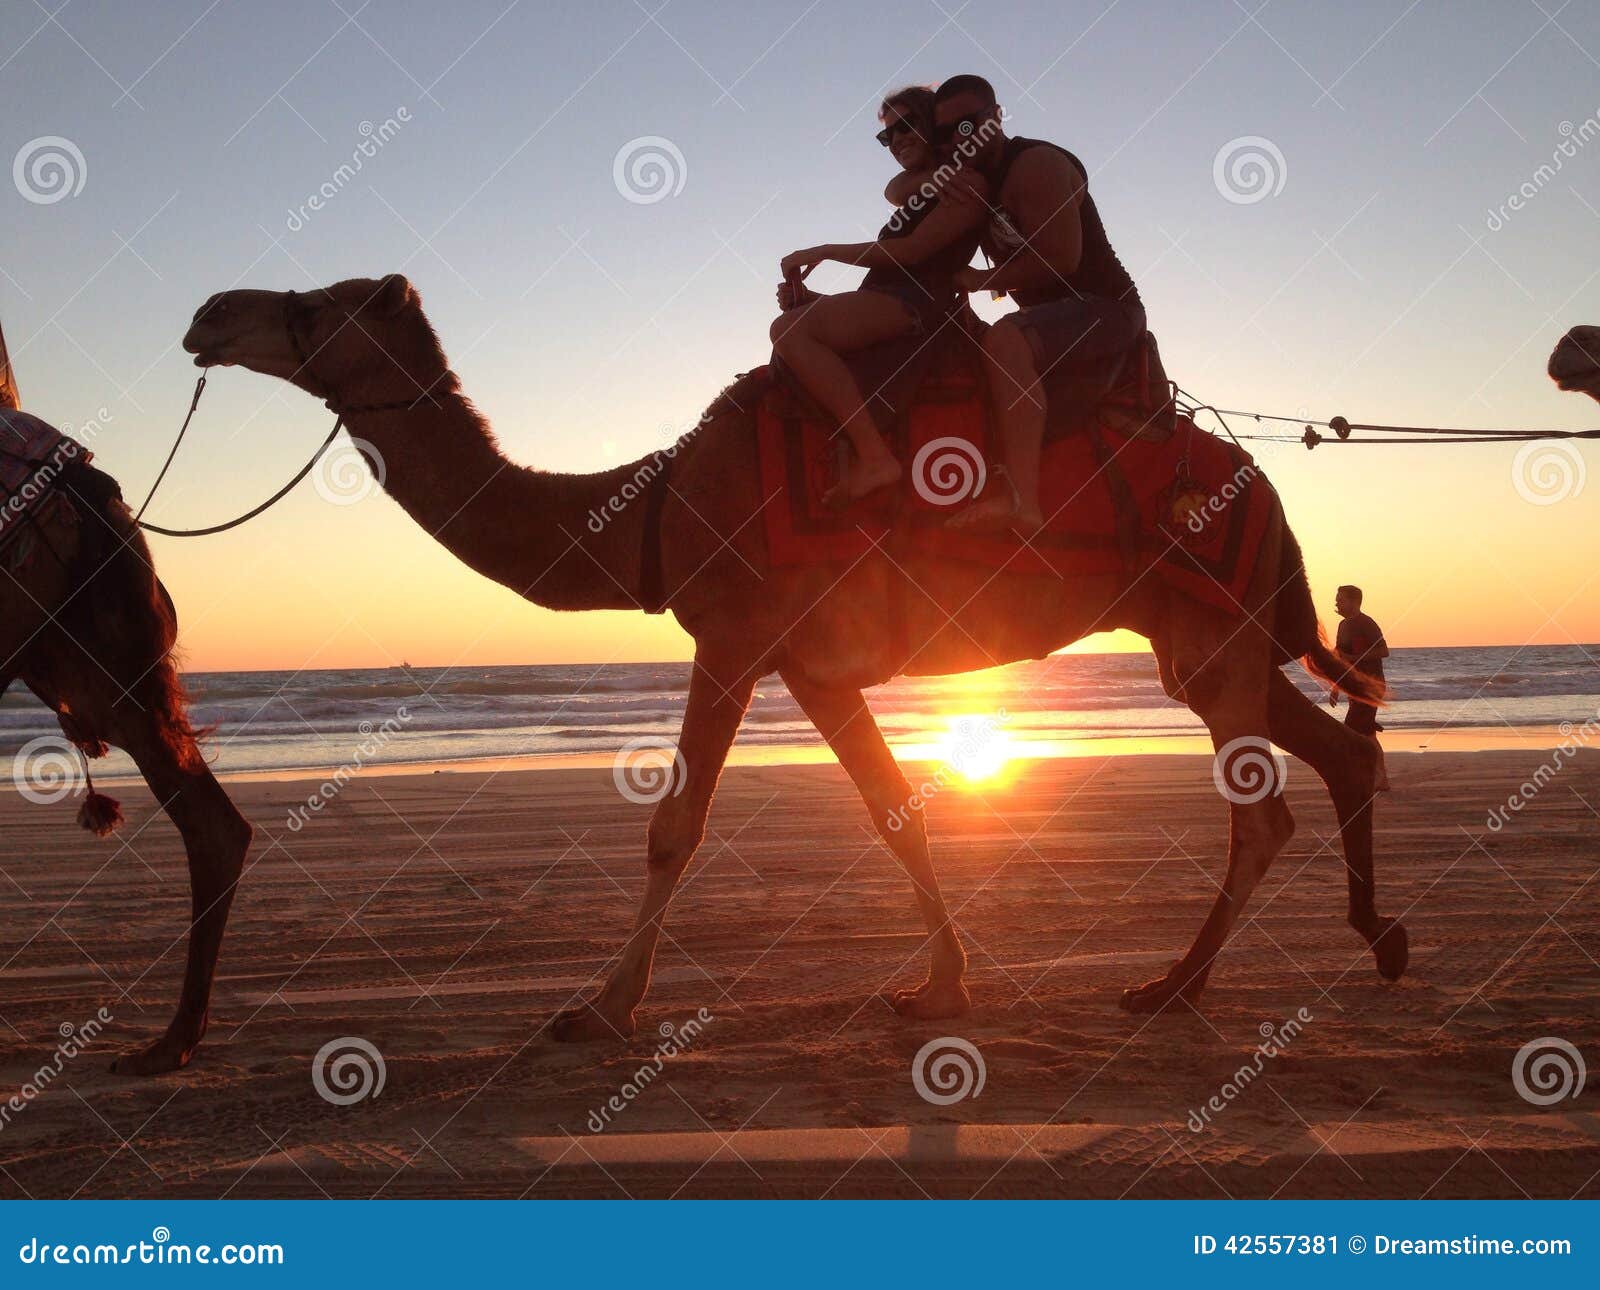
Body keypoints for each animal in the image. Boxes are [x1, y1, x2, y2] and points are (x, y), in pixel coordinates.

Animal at [181, 274, 1406, 1043]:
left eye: (314, 305)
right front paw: (942, 988)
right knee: (1332, 756)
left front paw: (601, 1010)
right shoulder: (813, 668)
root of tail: (1263, 485)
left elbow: (675, 828)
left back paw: (1173, 986)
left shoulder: (731, 633)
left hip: (1211, 619)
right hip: (1201, 635)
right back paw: (1376, 939)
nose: (208, 314)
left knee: (1264, 811)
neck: (651, 509)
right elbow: (897, 810)